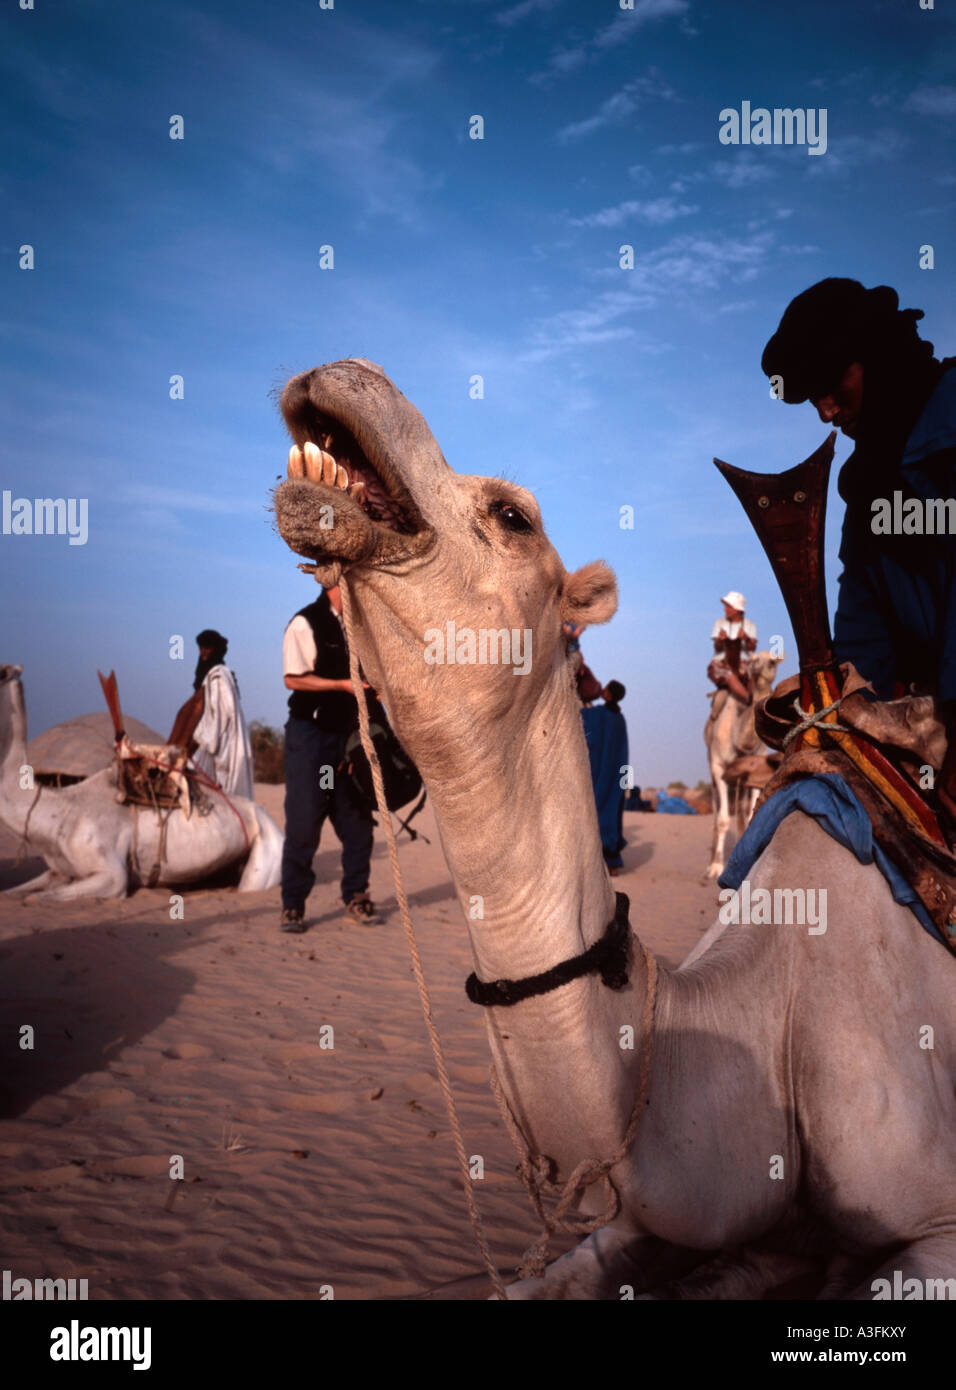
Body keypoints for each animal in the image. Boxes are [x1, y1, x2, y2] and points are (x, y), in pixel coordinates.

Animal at [0, 666, 282, 899]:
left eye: (0, 673)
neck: (62, 811)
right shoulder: (58, 871)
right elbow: (14, 894)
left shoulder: (112, 876)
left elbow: (36, 899)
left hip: (267, 854)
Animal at [703, 651, 784, 880]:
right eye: (752, 660)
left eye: (772, 661)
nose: (755, 668)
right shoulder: (719, 767)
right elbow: (722, 820)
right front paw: (717, 868)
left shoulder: (758, 769)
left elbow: (751, 820)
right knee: (715, 814)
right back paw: (711, 863)